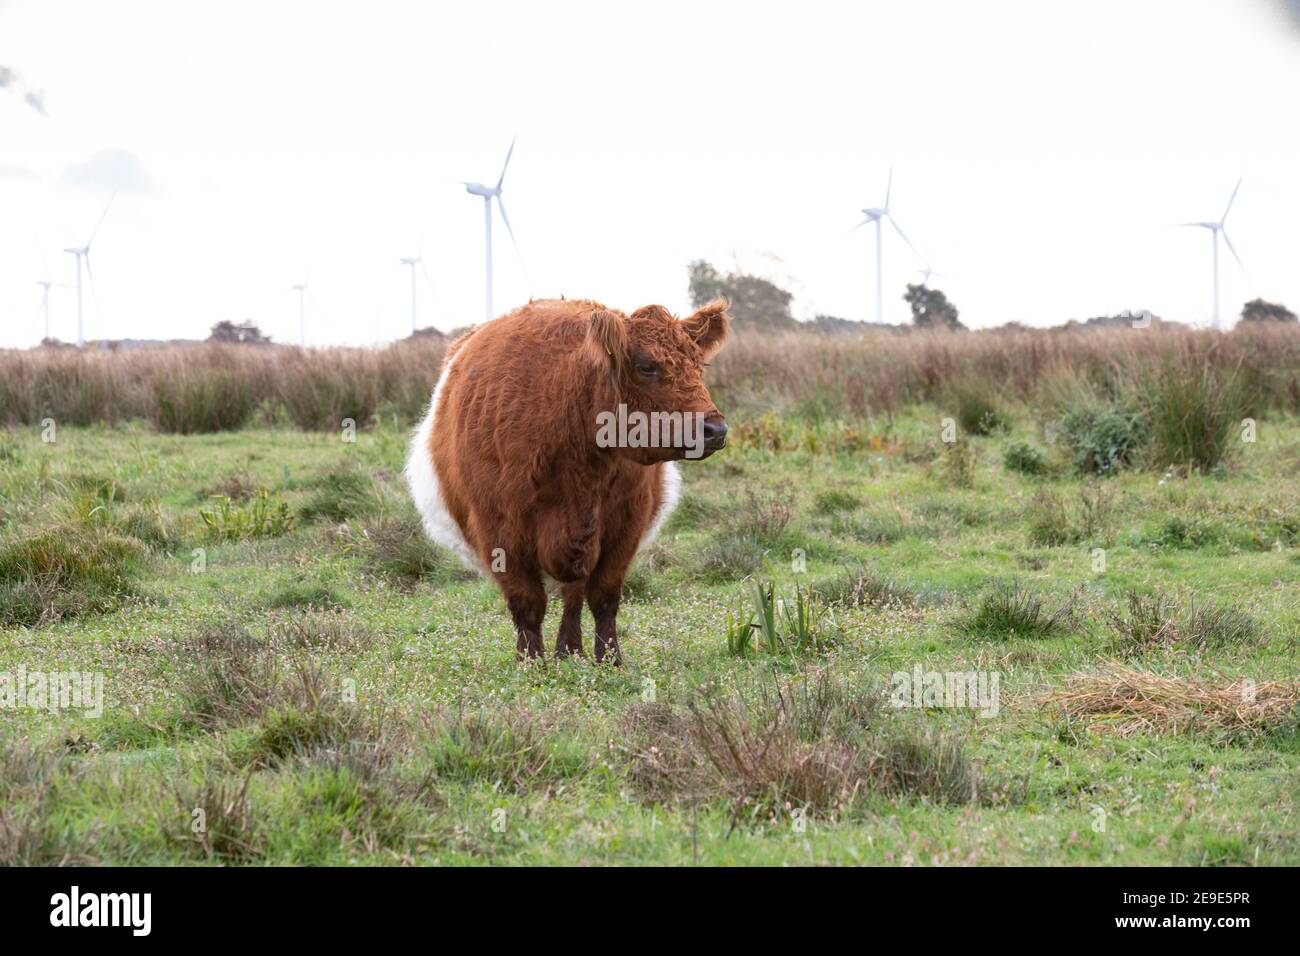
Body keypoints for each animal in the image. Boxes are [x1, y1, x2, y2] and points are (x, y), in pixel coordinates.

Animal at [405, 297, 730, 663]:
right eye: (647, 366)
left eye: (699, 364)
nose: (715, 430)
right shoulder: (498, 530)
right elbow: (527, 602)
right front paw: (530, 661)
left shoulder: (627, 523)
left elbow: (604, 596)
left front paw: (610, 659)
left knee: (573, 593)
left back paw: (570, 649)